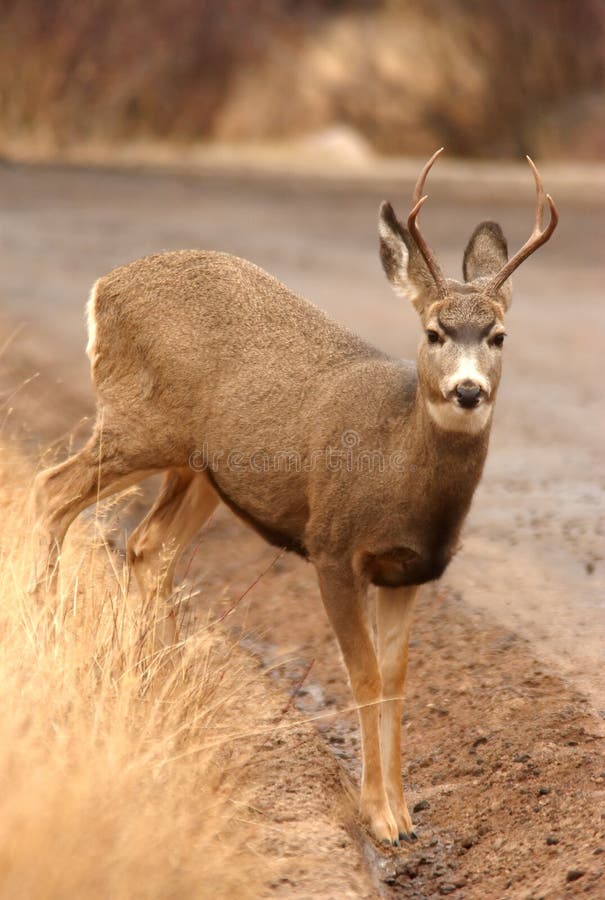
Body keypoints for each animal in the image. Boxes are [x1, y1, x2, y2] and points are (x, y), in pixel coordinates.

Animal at [33, 150, 558, 845]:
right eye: (434, 332)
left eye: (498, 336)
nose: (468, 391)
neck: (395, 468)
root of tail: (101, 289)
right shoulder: (333, 544)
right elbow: (363, 673)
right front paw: (378, 816)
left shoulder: (409, 570)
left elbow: (396, 679)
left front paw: (404, 813)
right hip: (137, 425)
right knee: (51, 491)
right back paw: (48, 628)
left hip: (199, 469)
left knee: (147, 545)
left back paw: (162, 681)